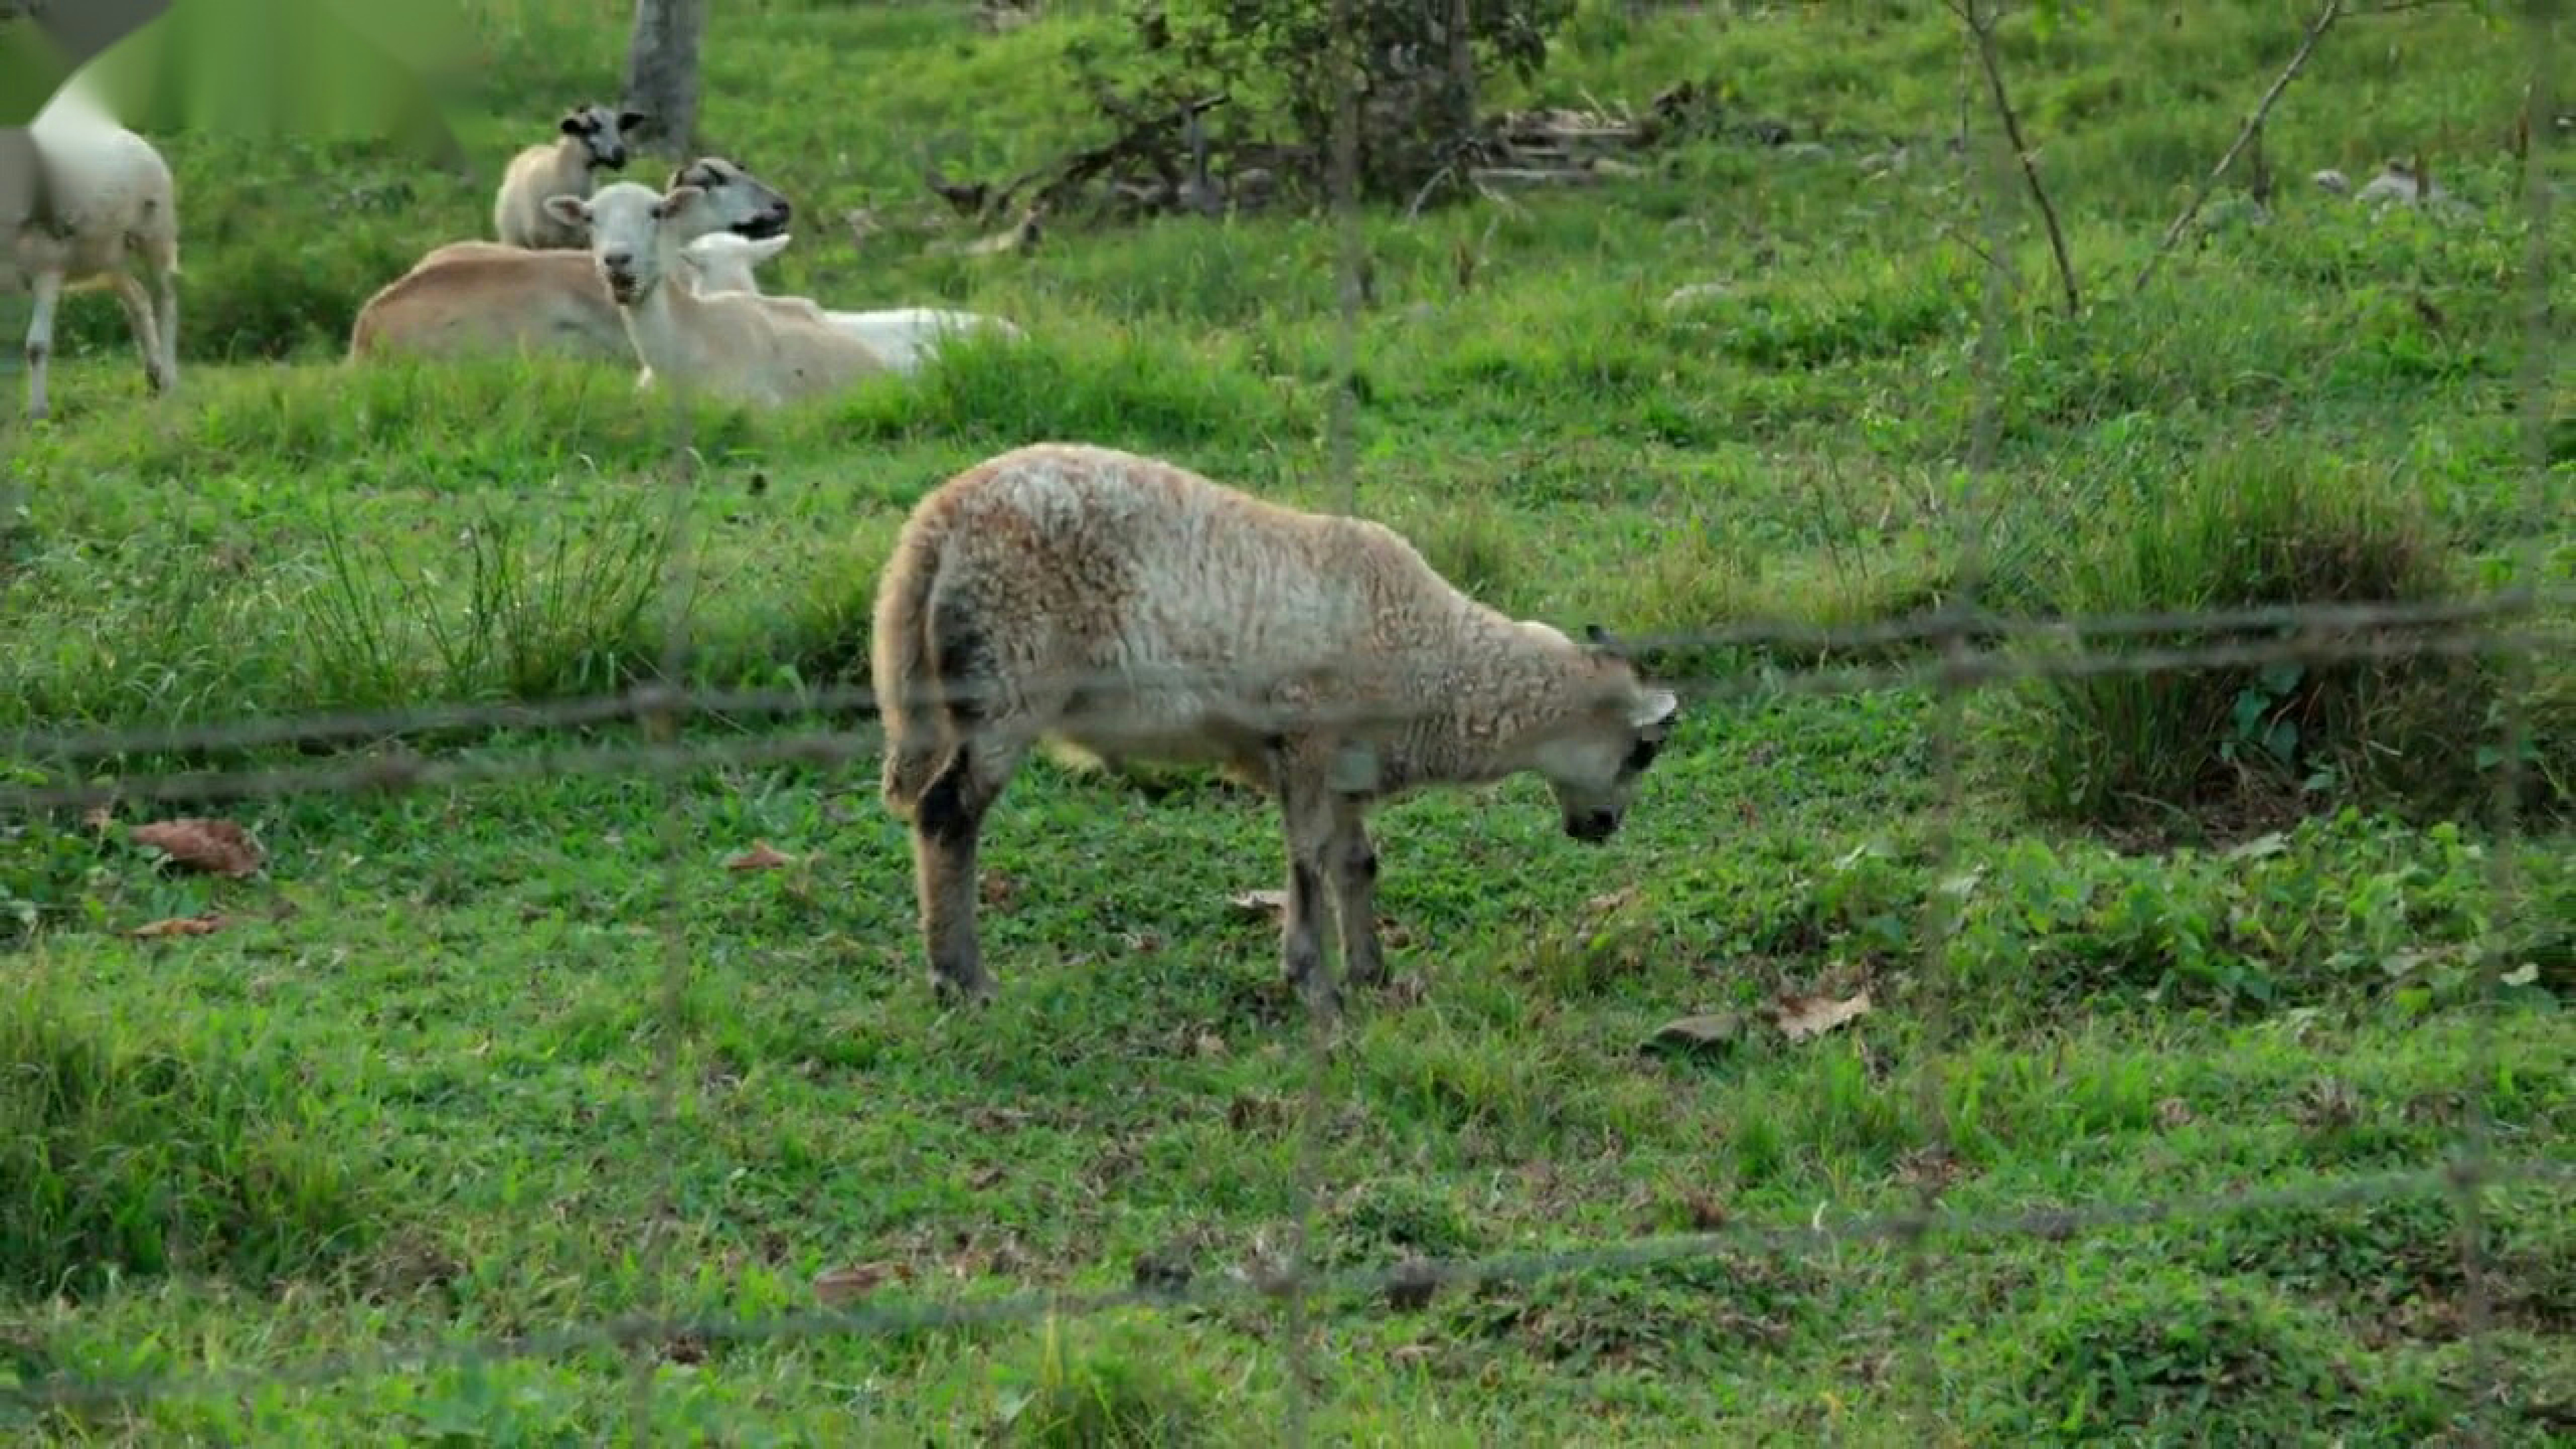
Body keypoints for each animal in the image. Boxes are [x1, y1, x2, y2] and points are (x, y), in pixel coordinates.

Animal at [6, 75, 180, 421]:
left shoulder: (47, 268)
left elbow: (37, 346)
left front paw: (38, 413)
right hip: (108, 260)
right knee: (138, 298)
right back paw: (153, 376)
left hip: (157, 235)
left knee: (165, 299)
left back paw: (168, 380)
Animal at [493, 103, 646, 250]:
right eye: (591, 128)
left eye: (619, 127)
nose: (620, 155)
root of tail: (534, 148)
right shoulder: (542, 243)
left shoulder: (584, 243)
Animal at [870, 442, 1684, 1009]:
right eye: (1644, 751)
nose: (1602, 829)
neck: (1439, 656)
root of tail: (936, 521)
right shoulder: (1304, 743)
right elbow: (1308, 860)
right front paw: (1313, 981)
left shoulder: (1347, 764)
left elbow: (1357, 863)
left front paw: (1371, 972)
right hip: (1008, 684)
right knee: (947, 816)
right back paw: (961, 978)